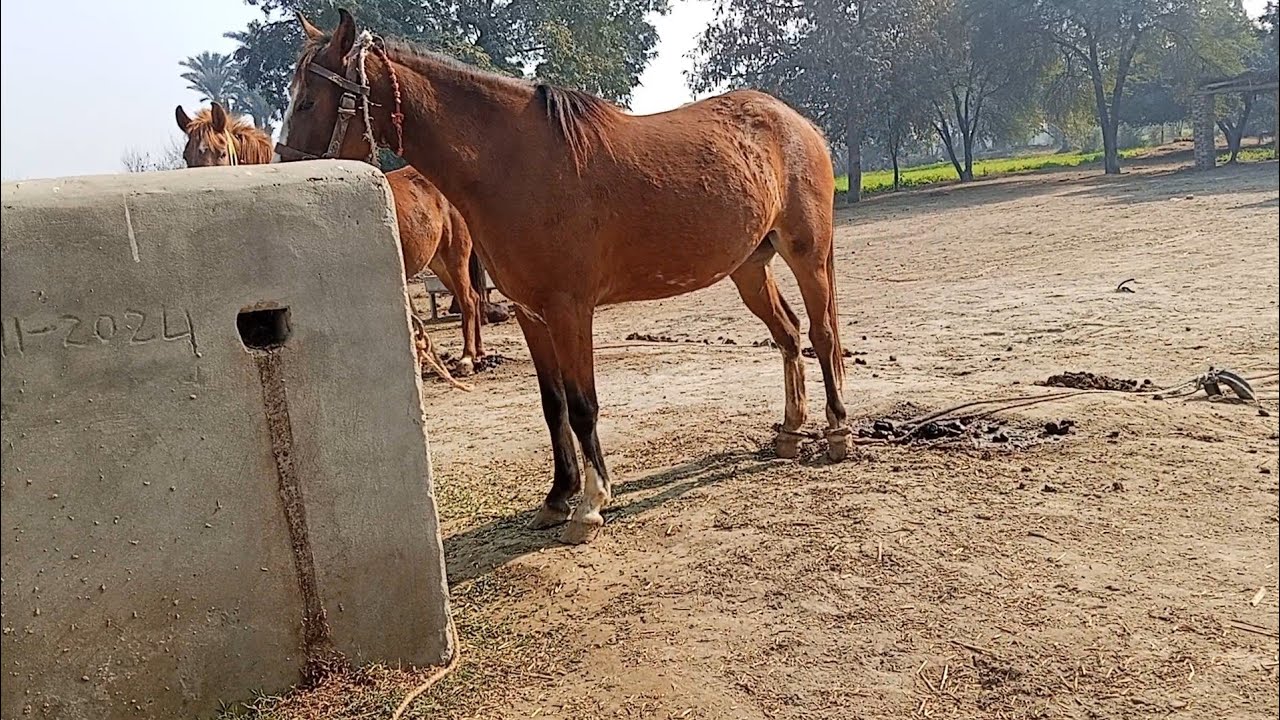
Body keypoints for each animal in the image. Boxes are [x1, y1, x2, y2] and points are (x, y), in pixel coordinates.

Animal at [175, 101, 494, 381]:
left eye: (219, 152)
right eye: (187, 156)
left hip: (455, 255)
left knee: (468, 300)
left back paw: (467, 358)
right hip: (438, 262)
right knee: (473, 298)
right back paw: (477, 355)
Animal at [275, 10, 849, 545]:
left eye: (307, 103)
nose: (284, 174)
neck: (515, 165)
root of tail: (796, 123)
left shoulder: (571, 310)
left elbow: (581, 406)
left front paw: (590, 505)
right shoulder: (532, 314)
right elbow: (553, 406)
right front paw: (558, 496)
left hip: (807, 254)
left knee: (821, 335)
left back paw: (837, 431)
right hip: (749, 267)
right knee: (788, 334)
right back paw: (790, 430)